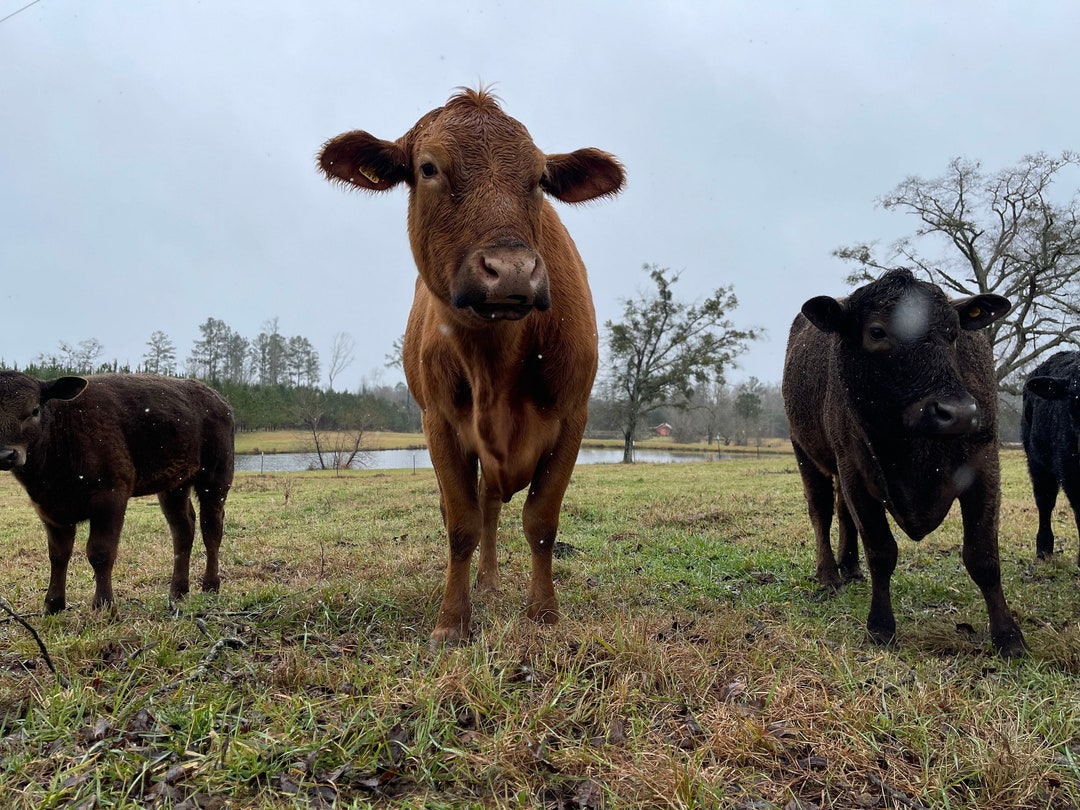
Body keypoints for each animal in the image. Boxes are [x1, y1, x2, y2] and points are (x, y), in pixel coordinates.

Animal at [0, 371, 234, 613]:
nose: (6, 455)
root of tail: (219, 399)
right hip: (174, 486)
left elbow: (100, 552)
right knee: (183, 529)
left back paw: (210, 585)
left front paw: (104, 604)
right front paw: (53, 605)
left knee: (212, 530)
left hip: (215, 480)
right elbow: (58, 555)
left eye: (35, 410)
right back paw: (178, 591)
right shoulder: (50, 509)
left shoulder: (111, 496)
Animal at [318, 88, 624, 642]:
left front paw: (544, 613)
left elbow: (541, 521)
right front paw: (451, 621)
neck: (495, 364)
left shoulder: (574, 417)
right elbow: (461, 523)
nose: (512, 271)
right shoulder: (437, 420)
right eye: (428, 167)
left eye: (540, 178)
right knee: (473, 509)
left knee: (493, 505)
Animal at [782, 268, 1026, 657]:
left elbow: (983, 556)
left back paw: (849, 567)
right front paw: (881, 626)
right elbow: (882, 551)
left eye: (953, 333)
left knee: (842, 511)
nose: (958, 412)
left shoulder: (985, 468)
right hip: (805, 452)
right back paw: (829, 575)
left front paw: (1008, 636)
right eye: (876, 332)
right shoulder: (855, 470)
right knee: (821, 511)